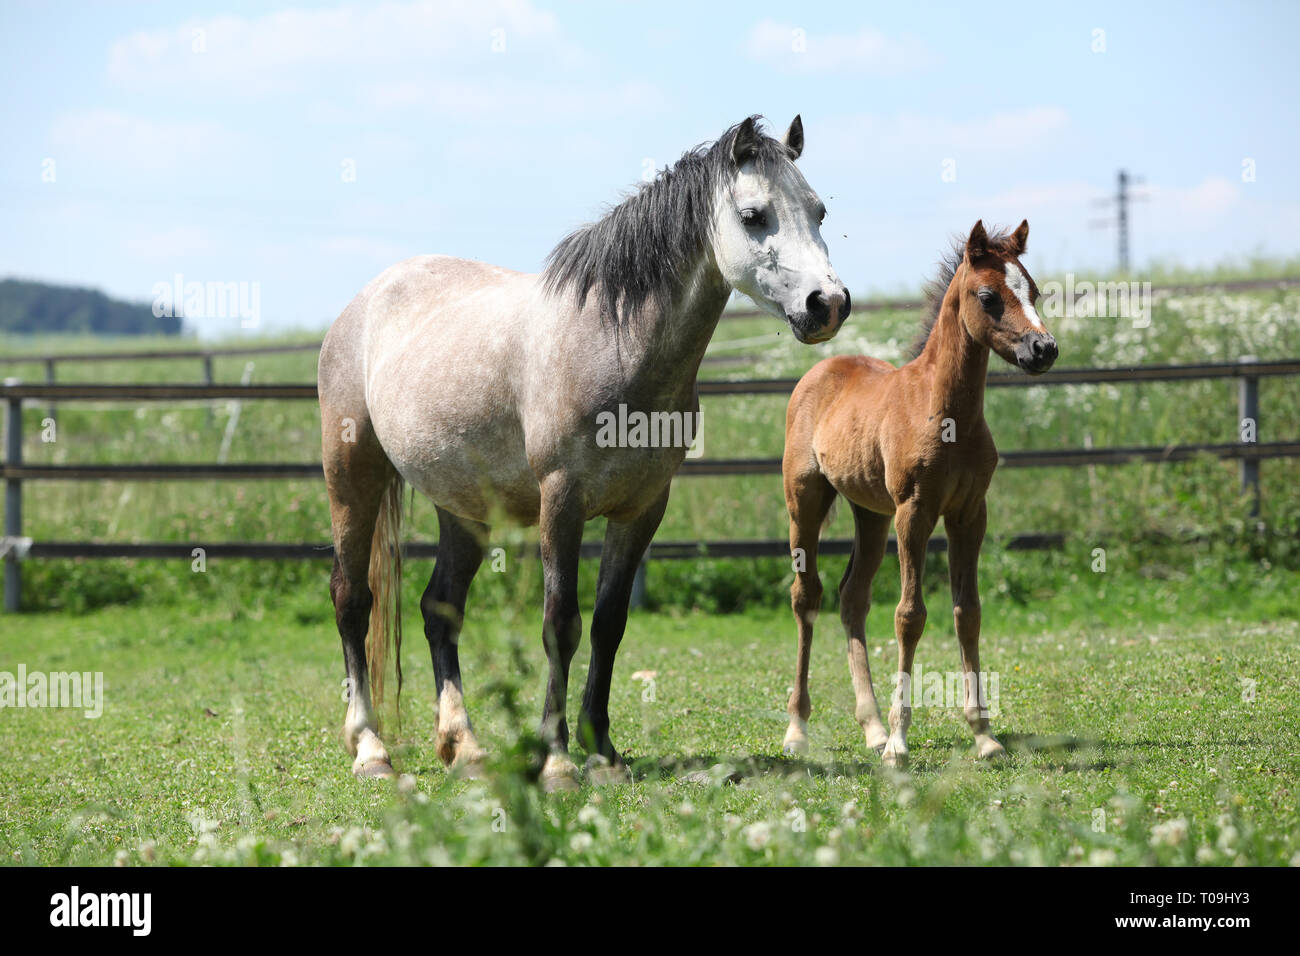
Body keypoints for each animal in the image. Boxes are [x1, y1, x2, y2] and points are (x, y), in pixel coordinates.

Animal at [318, 115, 851, 789]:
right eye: (754, 215)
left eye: (820, 211)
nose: (827, 304)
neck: (614, 343)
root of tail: (362, 302)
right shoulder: (562, 501)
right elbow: (561, 624)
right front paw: (556, 759)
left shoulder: (642, 509)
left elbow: (608, 624)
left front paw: (603, 751)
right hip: (352, 478)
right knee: (352, 600)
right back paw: (370, 749)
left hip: (463, 511)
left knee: (440, 609)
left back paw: (465, 748)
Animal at [780, 219, 1057, 767]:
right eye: (989, 296)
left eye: (1033, 291)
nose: (1044, 350)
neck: (948, 414)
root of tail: (820, 371)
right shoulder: (914, 512)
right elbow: (909, 616)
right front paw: (900, 741)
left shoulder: (970, 514)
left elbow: (967, 612)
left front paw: (984, 735)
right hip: (805, 502)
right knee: (808, 597)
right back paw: (799, 729)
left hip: (870, 513)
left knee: (852, 598)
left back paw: (869, 728)